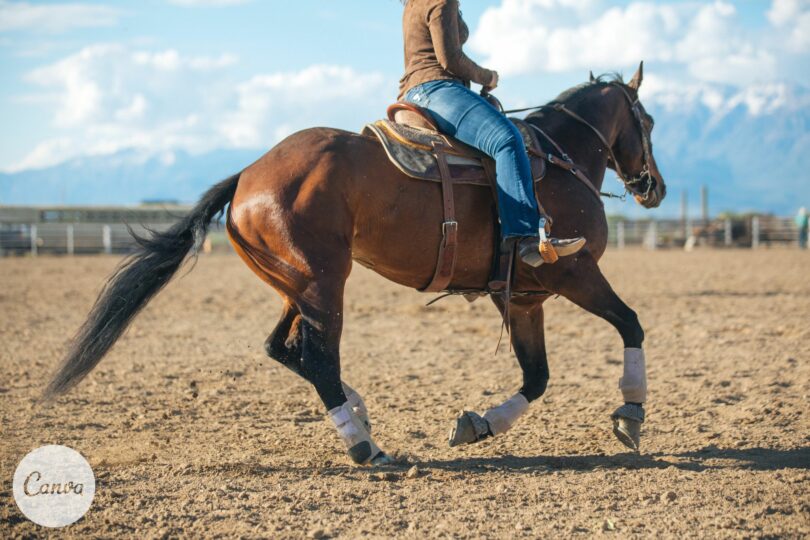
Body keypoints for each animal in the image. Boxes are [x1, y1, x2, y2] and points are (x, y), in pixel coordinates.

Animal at [42, 62, 666, 466]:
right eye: (651, 122)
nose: (653, 187)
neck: (558, 161)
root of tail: (247, 174)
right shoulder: (573, 273)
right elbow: (631, 323)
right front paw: (630, 412)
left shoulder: (522, 297)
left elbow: (536, 377)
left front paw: (477, 424)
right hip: (324, 283)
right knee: (318, 358)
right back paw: (365, 444)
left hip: (296, 285)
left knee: (284, 349)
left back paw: (361, 416)